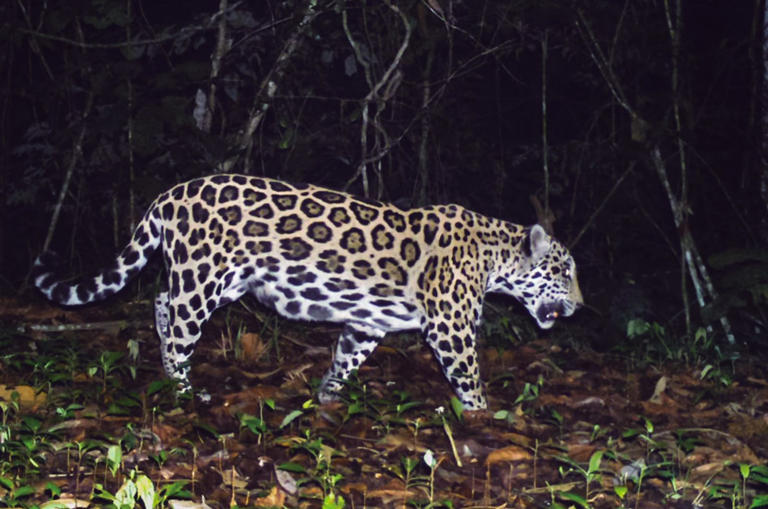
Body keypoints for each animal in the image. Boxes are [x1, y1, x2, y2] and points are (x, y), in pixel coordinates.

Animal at [33, 174, 583, 410]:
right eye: (564, 270)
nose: (579, 305)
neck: (495, 257)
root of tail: (169, 194)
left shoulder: (368, 322)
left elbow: (347, 356)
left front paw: (327, 395)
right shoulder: (451, 328)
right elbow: (469, 378)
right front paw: (482, 414)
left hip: (217, 280)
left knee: (162, 300)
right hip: (203, 278)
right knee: (180, 327)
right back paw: (183, 388)